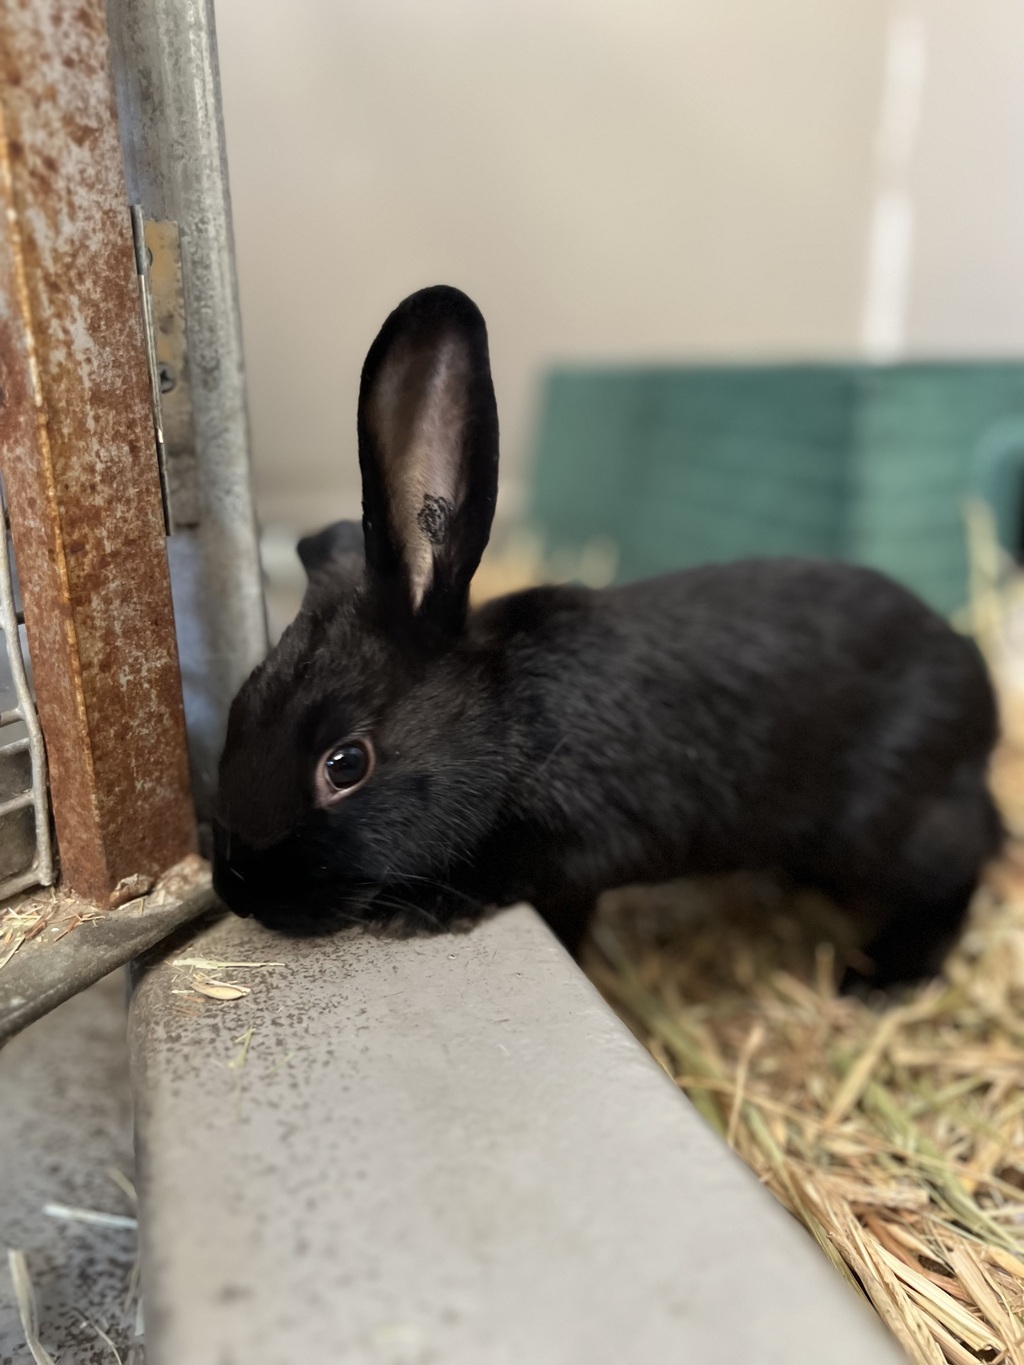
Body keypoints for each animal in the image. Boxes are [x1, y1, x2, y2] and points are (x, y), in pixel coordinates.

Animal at [213, 284, 1004, 989]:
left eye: (346, 764)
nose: (239, 890)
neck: (511, 725)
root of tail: (981, 692)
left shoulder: (581, 843)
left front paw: (417, 910)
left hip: (892, 822)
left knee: (956, 873)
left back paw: (883, 979)